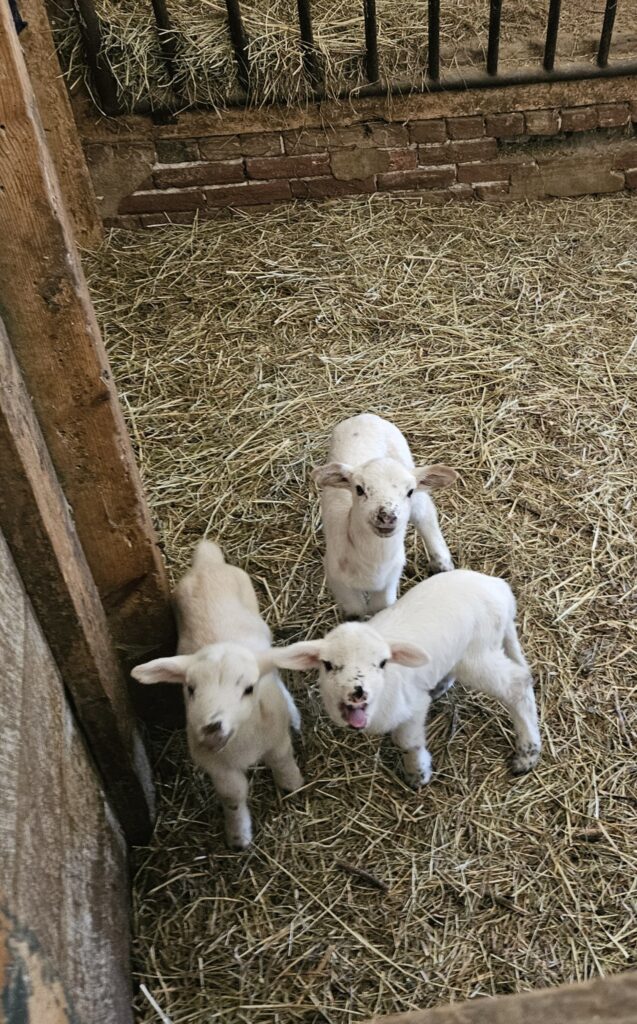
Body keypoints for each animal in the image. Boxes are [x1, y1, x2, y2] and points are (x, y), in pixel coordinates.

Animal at [131, 541, 303, 850]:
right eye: (190, 689)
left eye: (248, 689)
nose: (211, 728)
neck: (243, 743)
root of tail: (207, 563)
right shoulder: (218, 767)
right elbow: (233, 796)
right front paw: (238, 836)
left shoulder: (276, 741)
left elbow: (282, 761)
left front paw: (292, 785)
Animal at [269, 569, 541, 785]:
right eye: (328, 665)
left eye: (382, 663)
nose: (358, 692)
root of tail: (500, 587)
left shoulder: (414, 707)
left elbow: (408, 742)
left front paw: (417, 774)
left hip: (477, 654)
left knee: (518, 683)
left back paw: (527, 753)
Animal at [313, 413, 458, 619]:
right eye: (359, 489)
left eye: (409, 491)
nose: (387, 516)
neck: (374, 561)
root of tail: (366, 415)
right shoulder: (338, 581)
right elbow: (355, 613)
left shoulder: (390, 579)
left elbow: (381, 608)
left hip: (407, 460)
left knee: (424, 513)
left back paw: (442, 563)